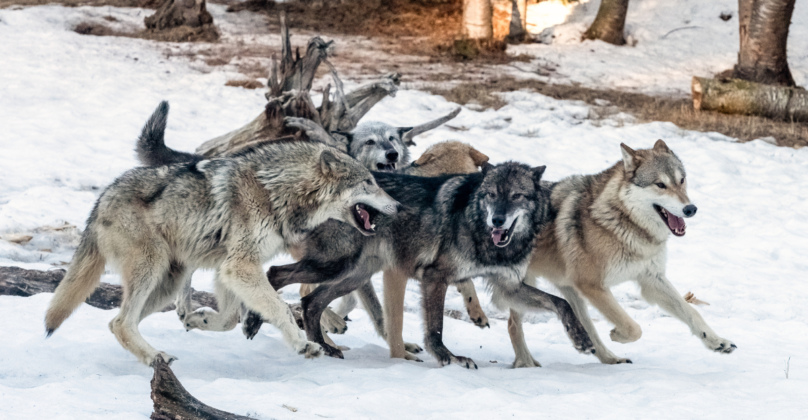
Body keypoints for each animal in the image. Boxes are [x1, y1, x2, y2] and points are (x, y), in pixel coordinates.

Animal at [44, 101, 399, 366]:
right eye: (370, 183)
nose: (397, 206)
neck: (275, 191)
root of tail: (101, 199)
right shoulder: (240, 266)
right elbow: (280, 307)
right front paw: (303, 346)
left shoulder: (228, 268)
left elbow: (229, 319)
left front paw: (200, 321)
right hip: (152, 268)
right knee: (120, 322)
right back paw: (156, 356)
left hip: (167, 282)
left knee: (117, 321)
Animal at [266, 163, 596, 368]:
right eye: (491, 195)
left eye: (516, 196)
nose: (498, 220)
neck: (480, 230)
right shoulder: (435, 277)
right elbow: (435, 327)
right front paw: (450, 358)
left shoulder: (508, 288)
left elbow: (562, 303)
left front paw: (582, 339)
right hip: (333, 265)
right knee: (275, 275)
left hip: (353, 275)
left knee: (310, 302)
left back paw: (326, 348)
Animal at [508, 140, 736, 367]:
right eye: (660, 185)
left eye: (682, 180)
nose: (690, 209)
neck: (623, 223)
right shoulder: (592, 286)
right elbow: (633, 328)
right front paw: (617, 334)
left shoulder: (651, 279)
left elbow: (692, 312)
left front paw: (717, 342)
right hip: (526, 287)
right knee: (512, 324)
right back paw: (526, 363)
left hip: (570, 291)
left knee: (586, 328)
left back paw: (610, 358)